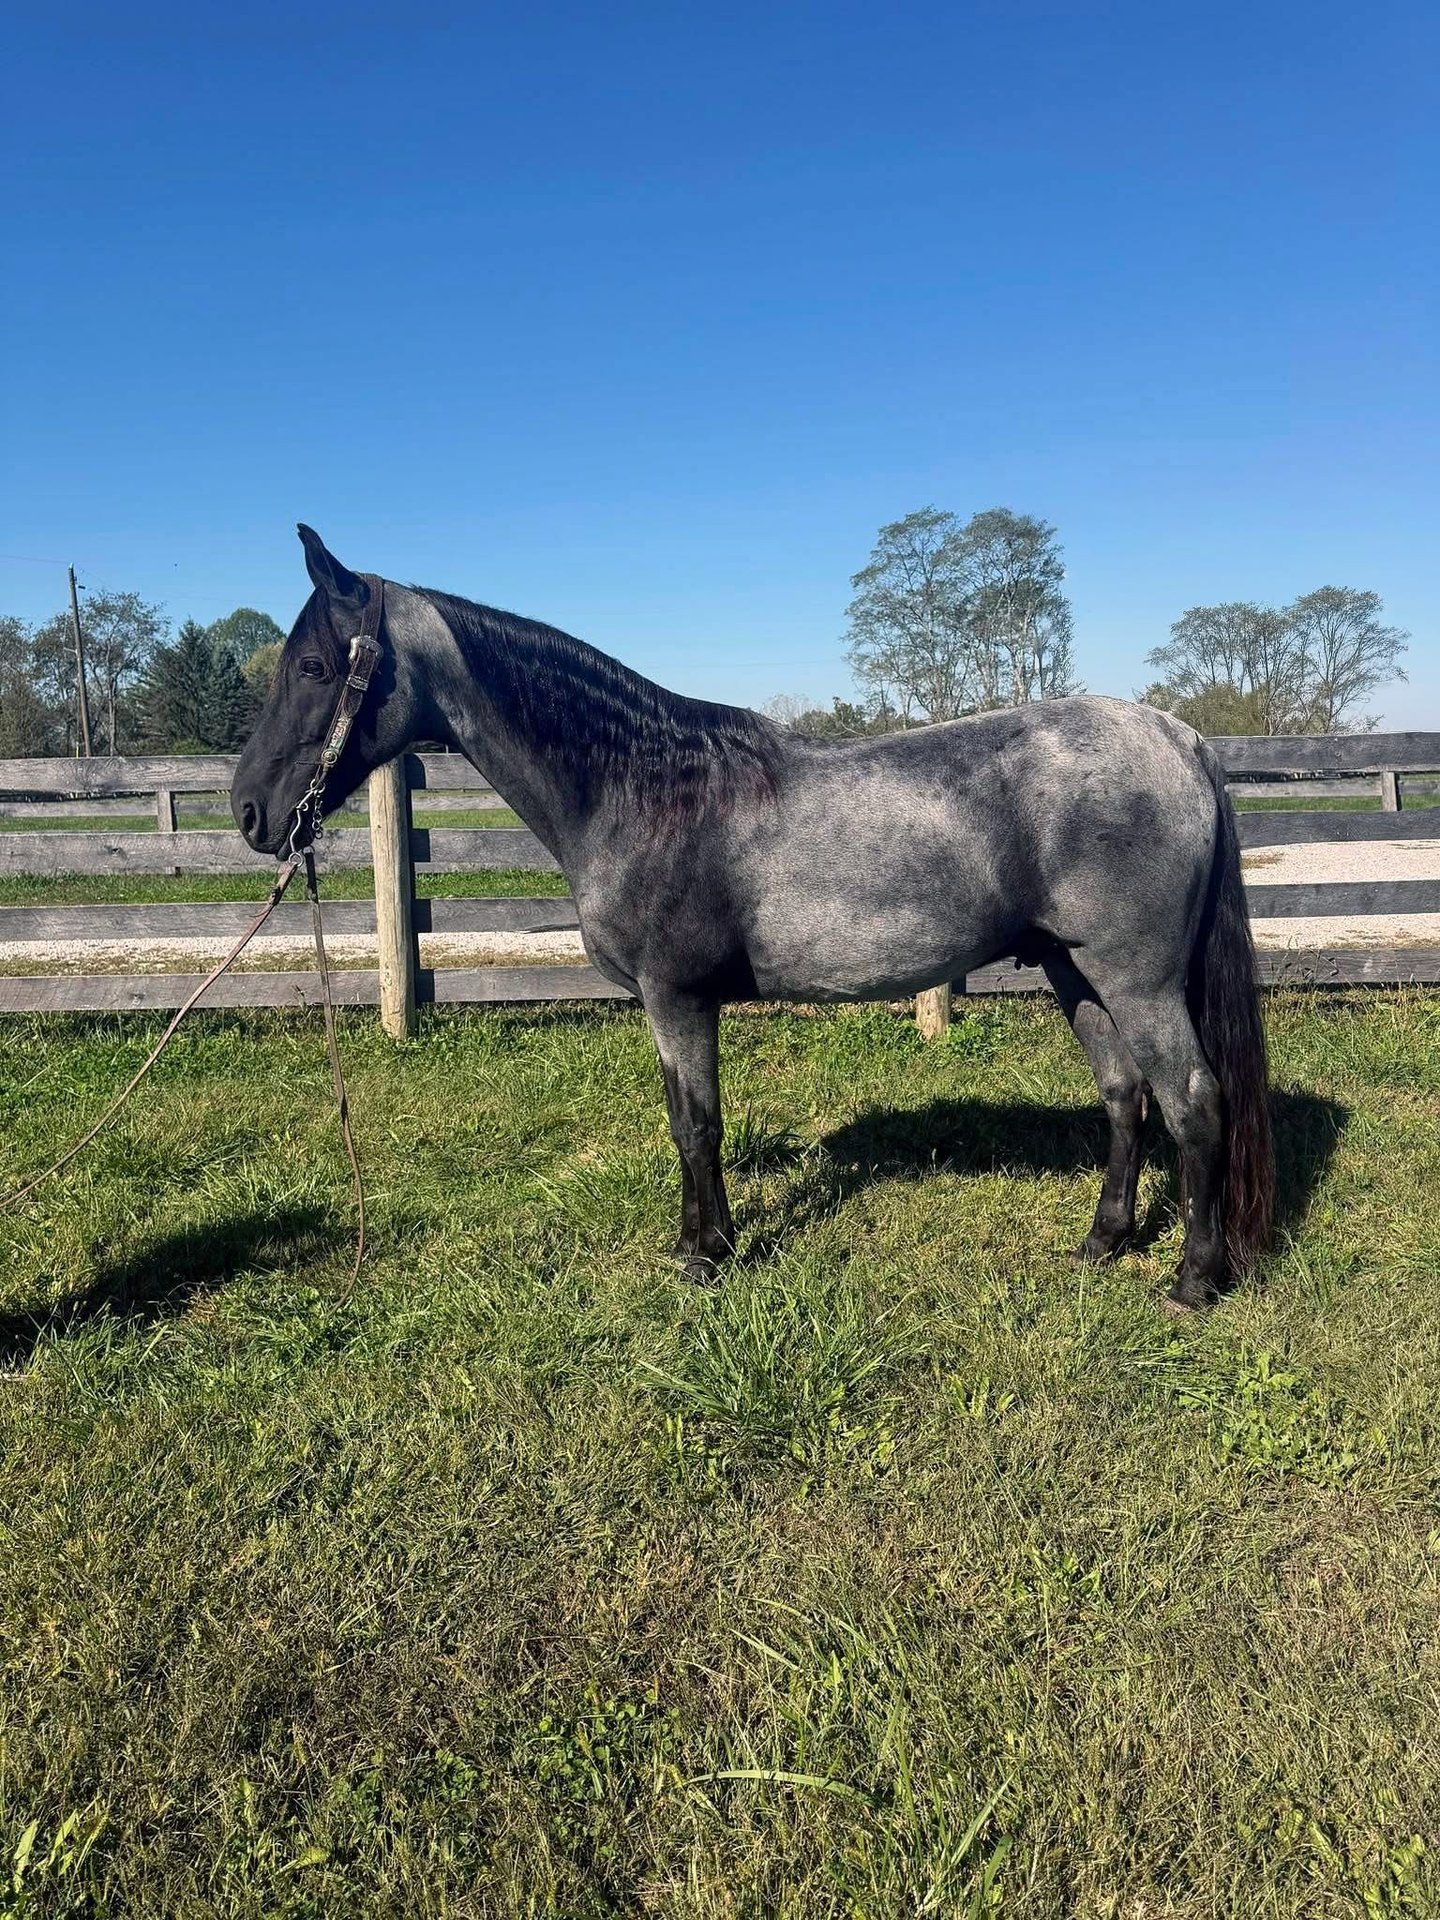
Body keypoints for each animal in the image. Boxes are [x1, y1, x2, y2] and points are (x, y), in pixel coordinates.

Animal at [232, 525, 1274, 1311]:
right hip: (1073, 970)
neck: (645, 789)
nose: (249, 813)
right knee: (1126, 1097)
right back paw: (1102, 1242)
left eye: (316, 665)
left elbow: (696, 1124)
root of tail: (1180, 739)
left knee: (1194, 1101)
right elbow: (685, 1121)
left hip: (1135, 978)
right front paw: (706, 1241)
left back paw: (1192, 1281)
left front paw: (704, 1256)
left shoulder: (678, 998)